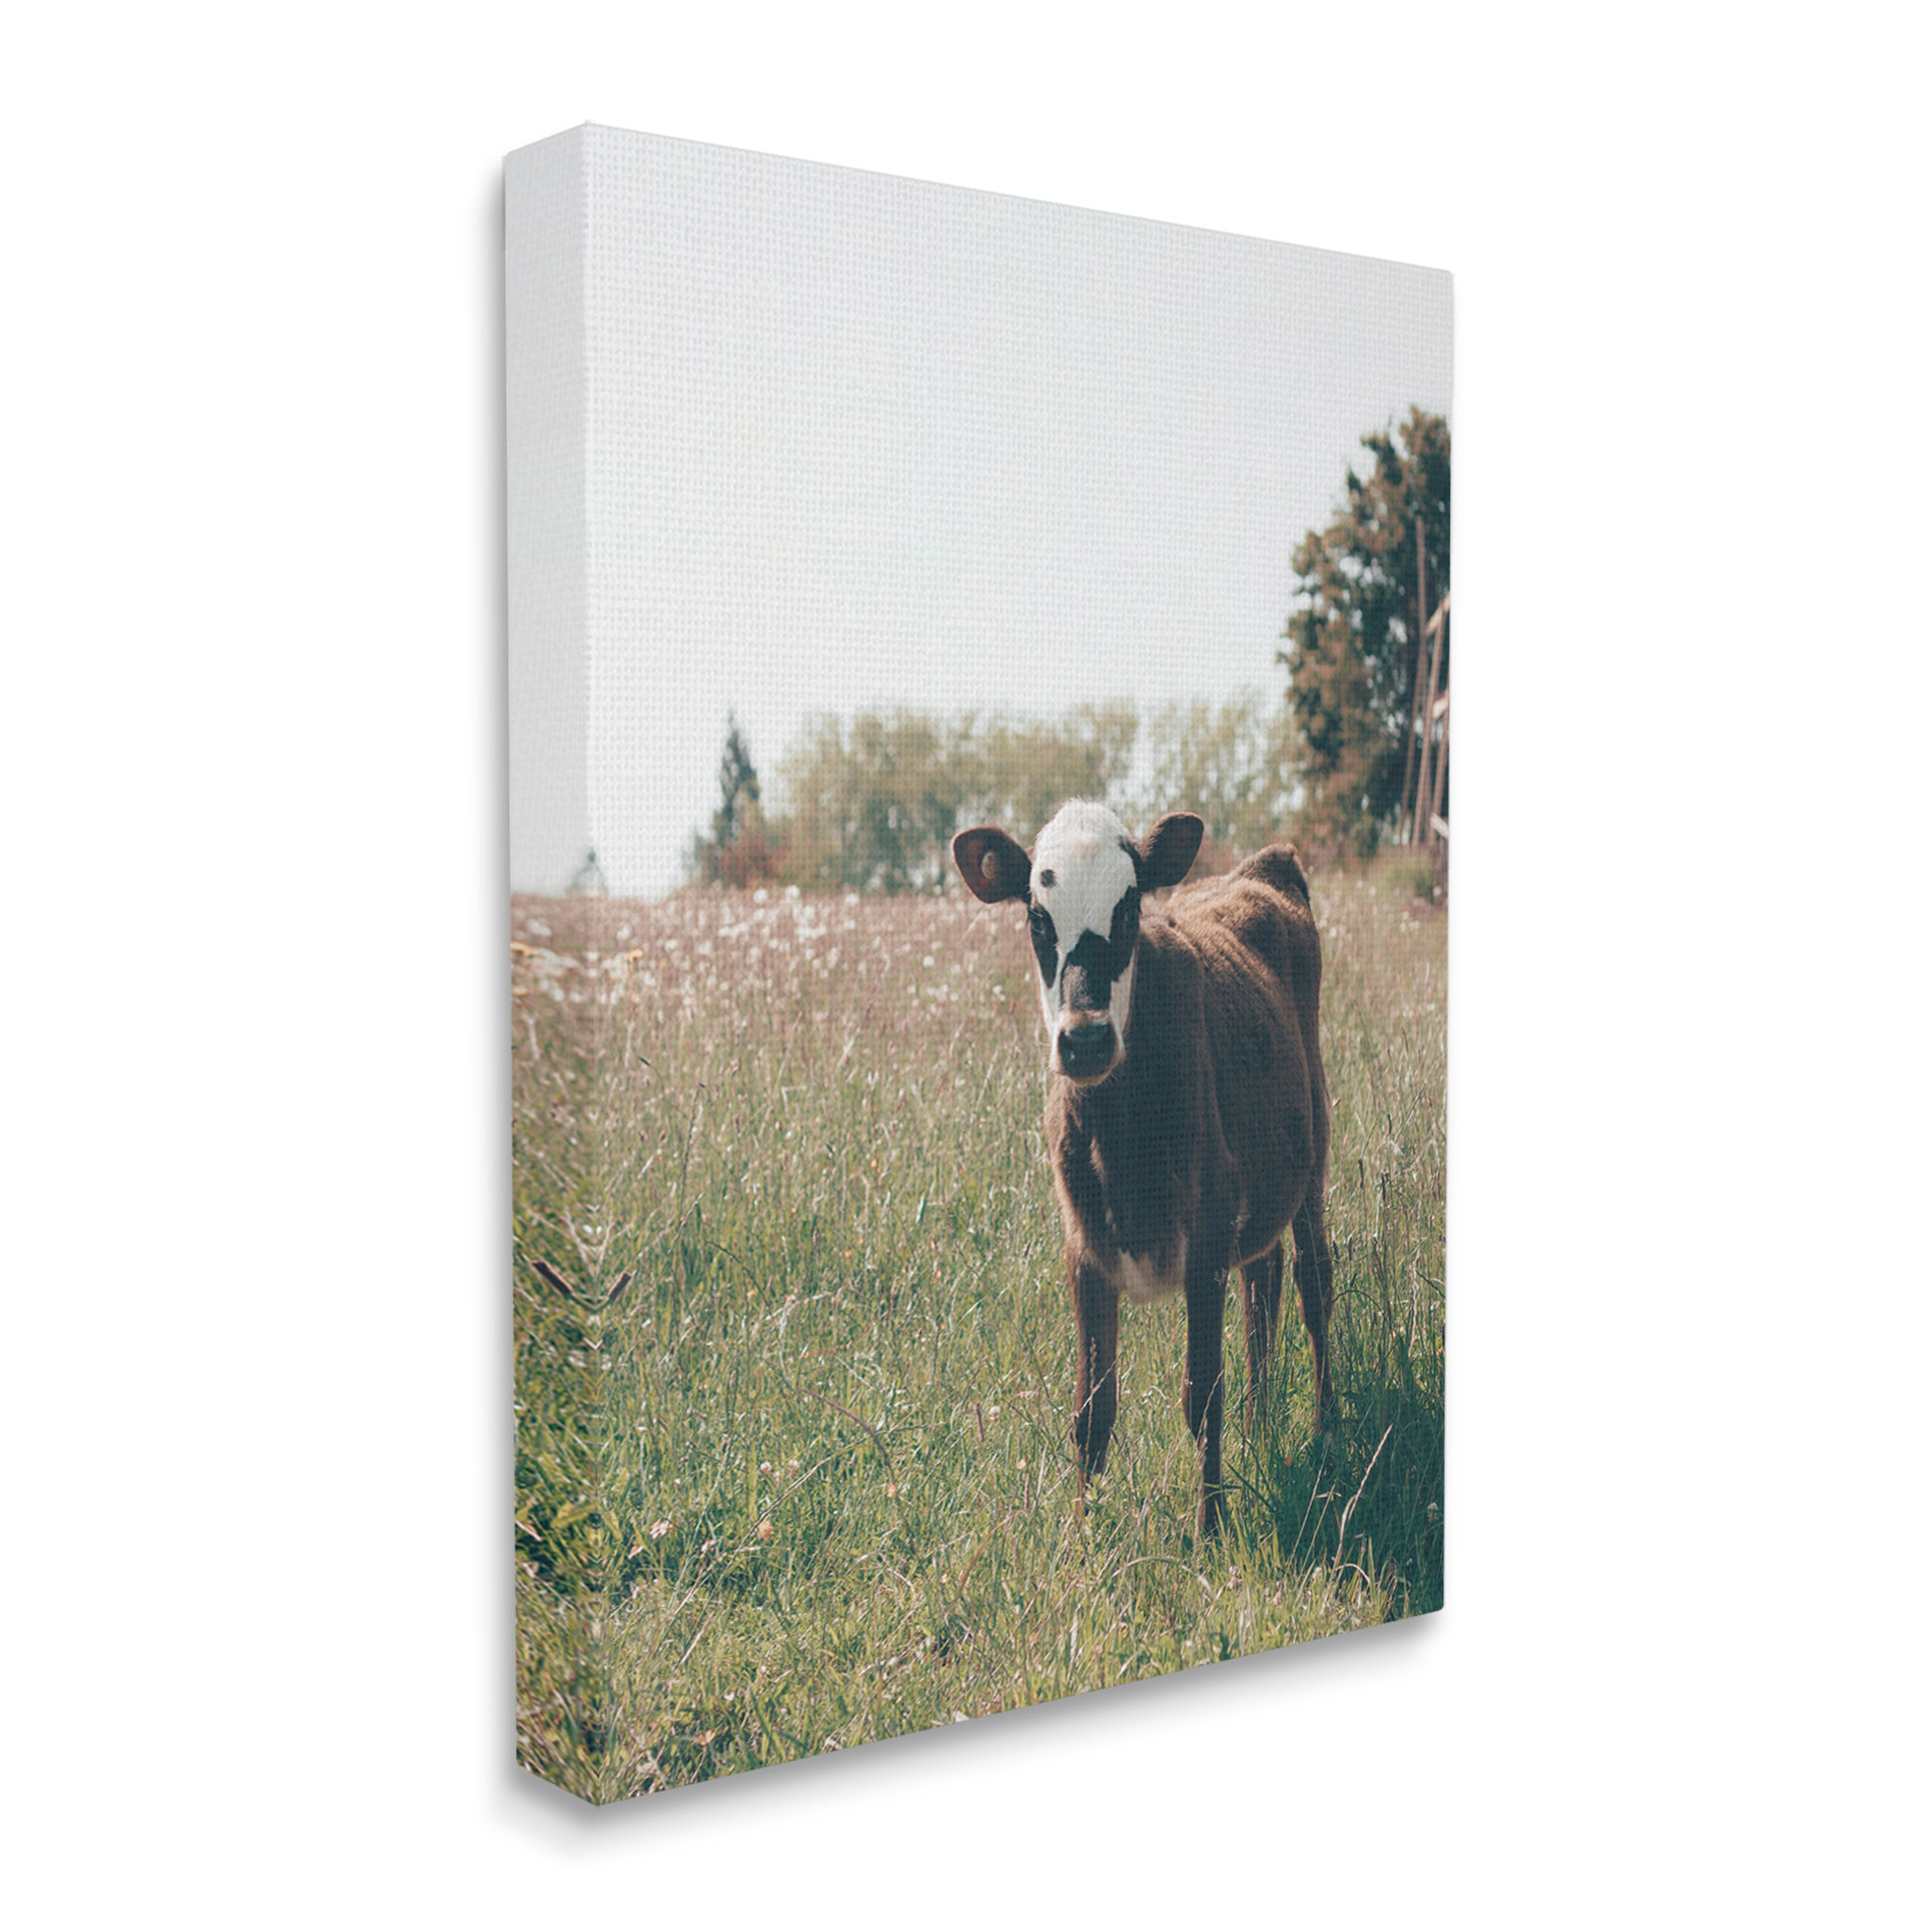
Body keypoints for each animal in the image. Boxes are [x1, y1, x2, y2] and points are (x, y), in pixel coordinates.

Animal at [952, 800, 1335, 1535]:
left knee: (1312, 1284)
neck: (1121, 1136)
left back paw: (1328, 1429)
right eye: (1036, 918)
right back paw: (1258, 1429)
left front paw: (1210, 1531)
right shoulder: (1084, 1251)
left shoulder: (1206, 1240)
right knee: (1264, 1279)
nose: (1085, 1039)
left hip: (1315, 1154)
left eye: (1128, 910)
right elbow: (1090, 1413)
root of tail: (1259, 867)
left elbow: (1200, 1392)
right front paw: (1083, 1537)